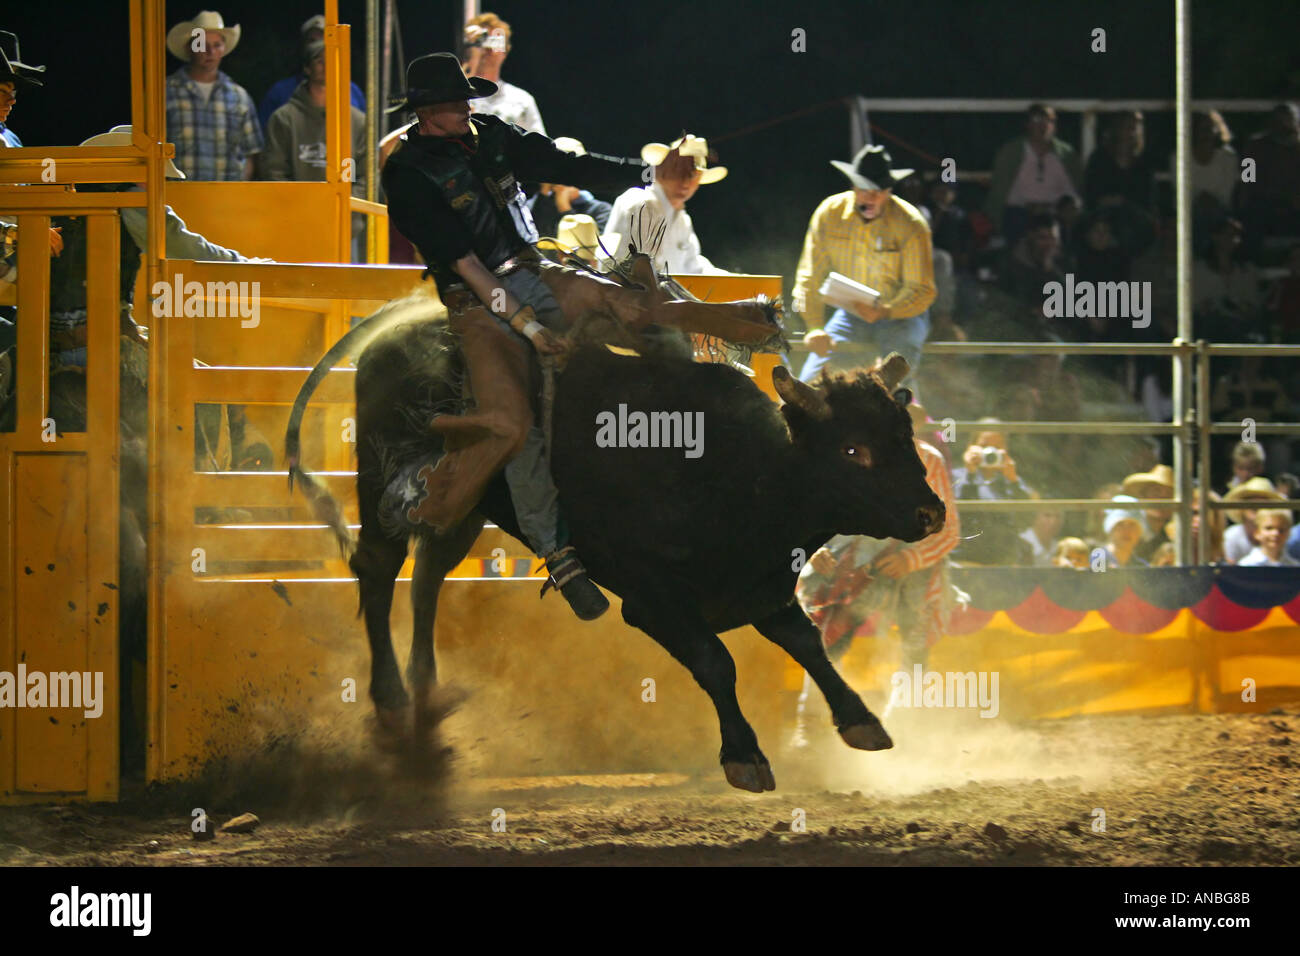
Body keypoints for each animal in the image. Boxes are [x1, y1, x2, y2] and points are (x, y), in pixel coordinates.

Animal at [286, 300, 944, 792]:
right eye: (854, 449)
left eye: (904, 434)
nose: (932, 512)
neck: (746, 472)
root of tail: (394, 331)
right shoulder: (654, 601)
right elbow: (716, 662)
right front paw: (744, 757)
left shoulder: (761, 588)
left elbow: (808, 644)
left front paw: (861, 721)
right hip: (383, 484)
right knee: (378, 570)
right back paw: (393, 703)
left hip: (463, 502)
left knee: (428, 578)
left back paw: (426, 698)